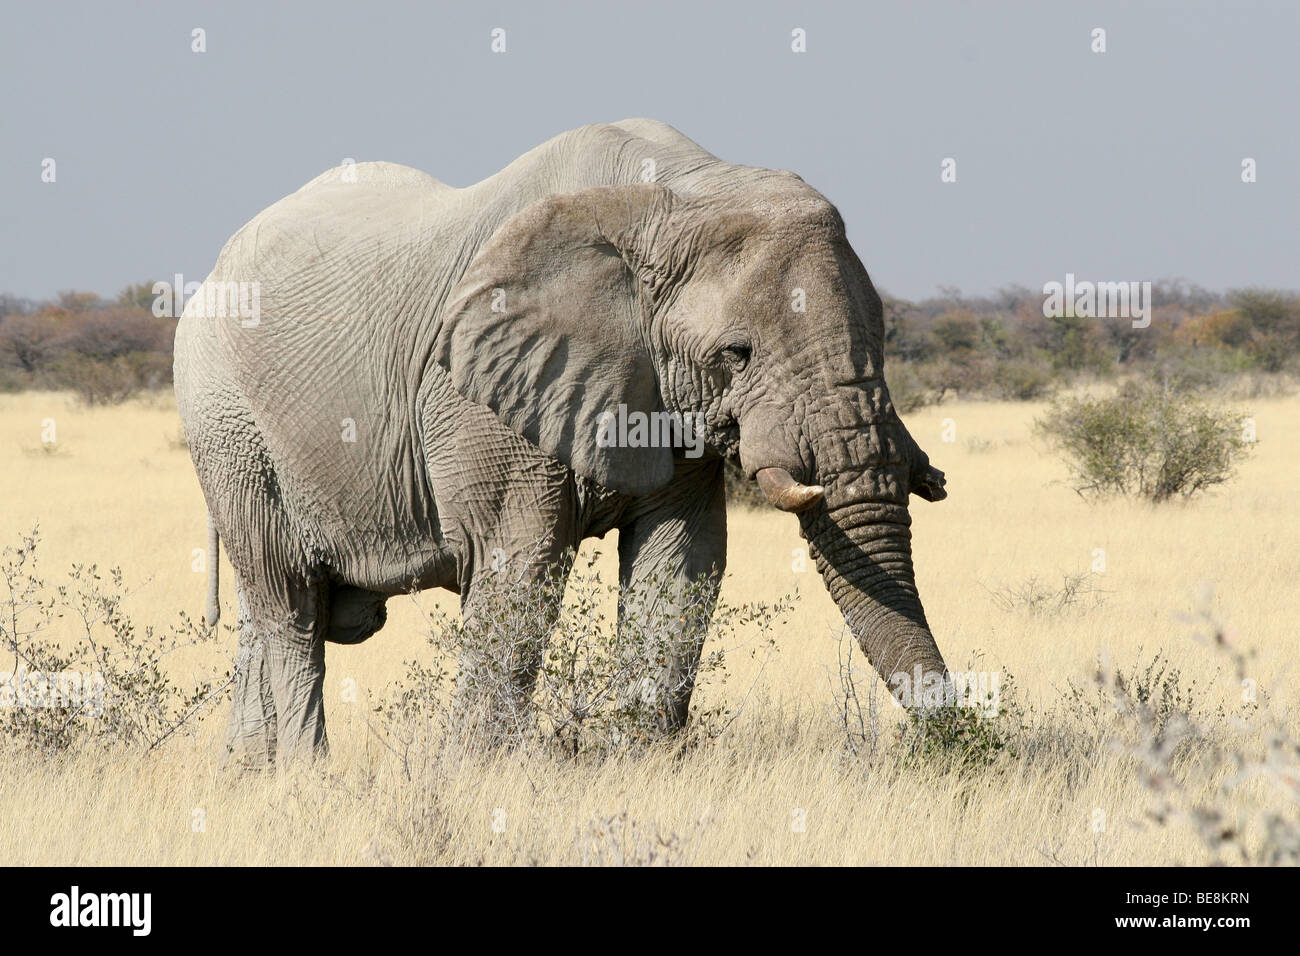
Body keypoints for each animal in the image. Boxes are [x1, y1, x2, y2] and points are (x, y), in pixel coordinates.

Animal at [174, 118, 951, 767]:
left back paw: (246, 773)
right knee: (288, 602)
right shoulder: (479, 393)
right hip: (225, 421)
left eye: (885, 337)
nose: (960, 737)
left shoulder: (664, 396)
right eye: (736, 354)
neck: (678, 194)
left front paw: (640, 766)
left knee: (264, 607)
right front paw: (481, 776)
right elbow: (519, 560)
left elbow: (682, 562)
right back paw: (307, 775)